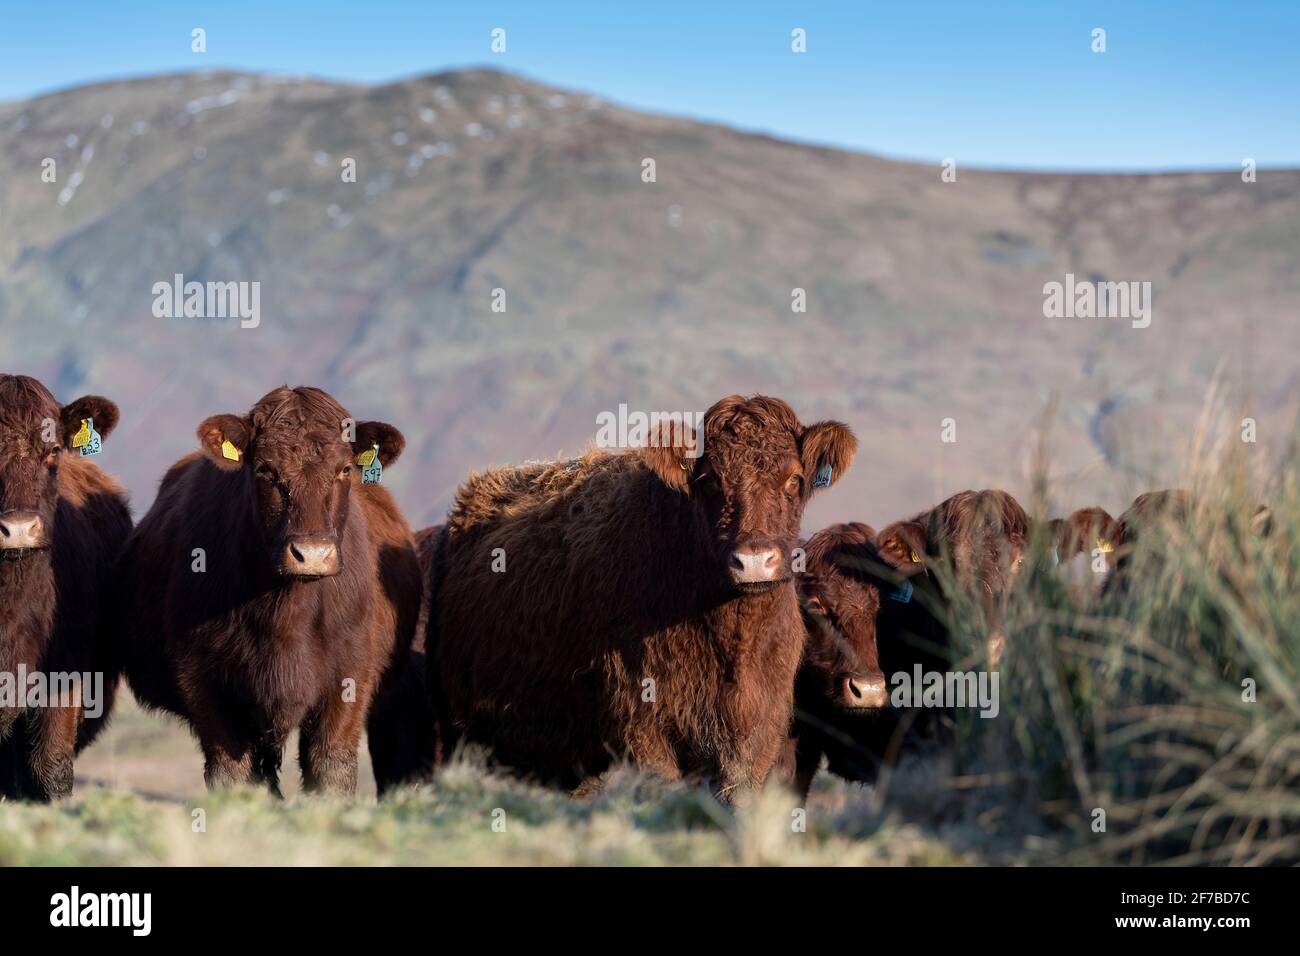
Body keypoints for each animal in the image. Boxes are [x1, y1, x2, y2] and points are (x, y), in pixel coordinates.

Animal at [114, 386, 421, 796]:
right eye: (265, 469)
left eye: (344, 469)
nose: (312, 554)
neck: (286, 612)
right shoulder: (204, 682)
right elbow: (233, 772)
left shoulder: (350, 678)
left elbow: (330, 768)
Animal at [427, 395, 857, 799]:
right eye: (710, 481)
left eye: (794, 479)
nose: (753, 561)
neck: (734, 639)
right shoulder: (643, 724)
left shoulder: (756, 734)